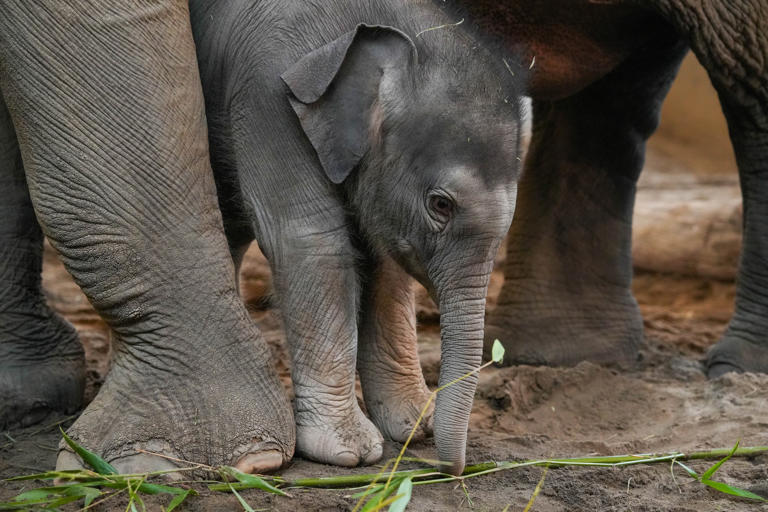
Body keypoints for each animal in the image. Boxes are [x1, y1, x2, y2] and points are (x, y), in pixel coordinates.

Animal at [189, 0, 522, 474]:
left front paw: (414, 427)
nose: (449, 469)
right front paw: (351, 453)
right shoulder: (265, 99)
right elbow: (311, 239)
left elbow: (382, 256)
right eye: (440, 205)